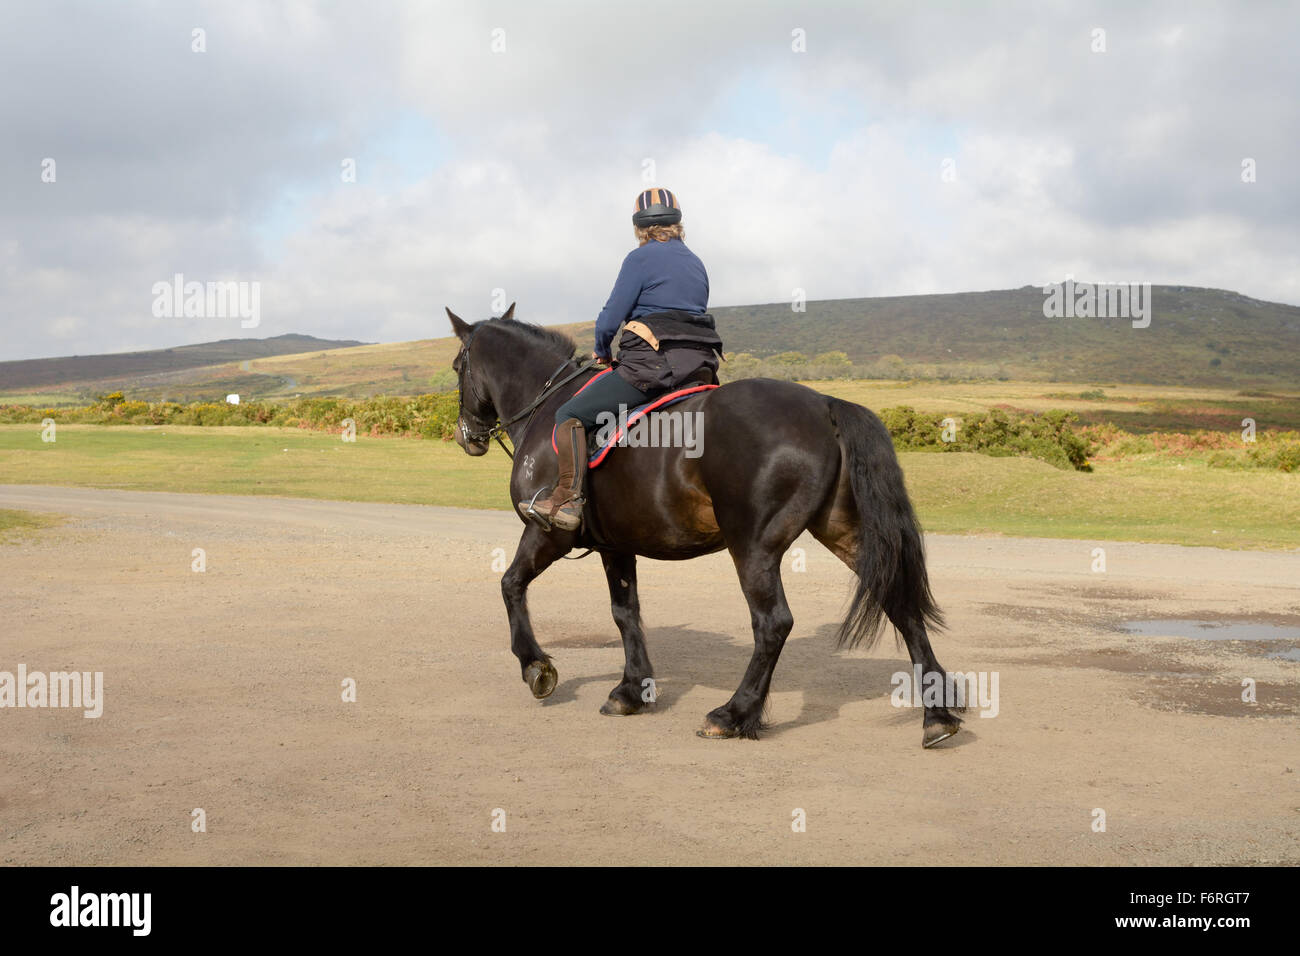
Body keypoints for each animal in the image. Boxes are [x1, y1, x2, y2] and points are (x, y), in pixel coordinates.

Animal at [446, 303, 962, 747]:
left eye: (456, 366)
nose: (467, 436)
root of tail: (823, 405)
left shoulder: (548, 532)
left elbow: (511, 584)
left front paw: (536, 667)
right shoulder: (617, 546)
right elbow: (625, 613)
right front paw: (631, 690)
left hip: (752, 547)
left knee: (773, 624)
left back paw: (734, 714)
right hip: (845, 534)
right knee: (899, 602)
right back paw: (937, 715)